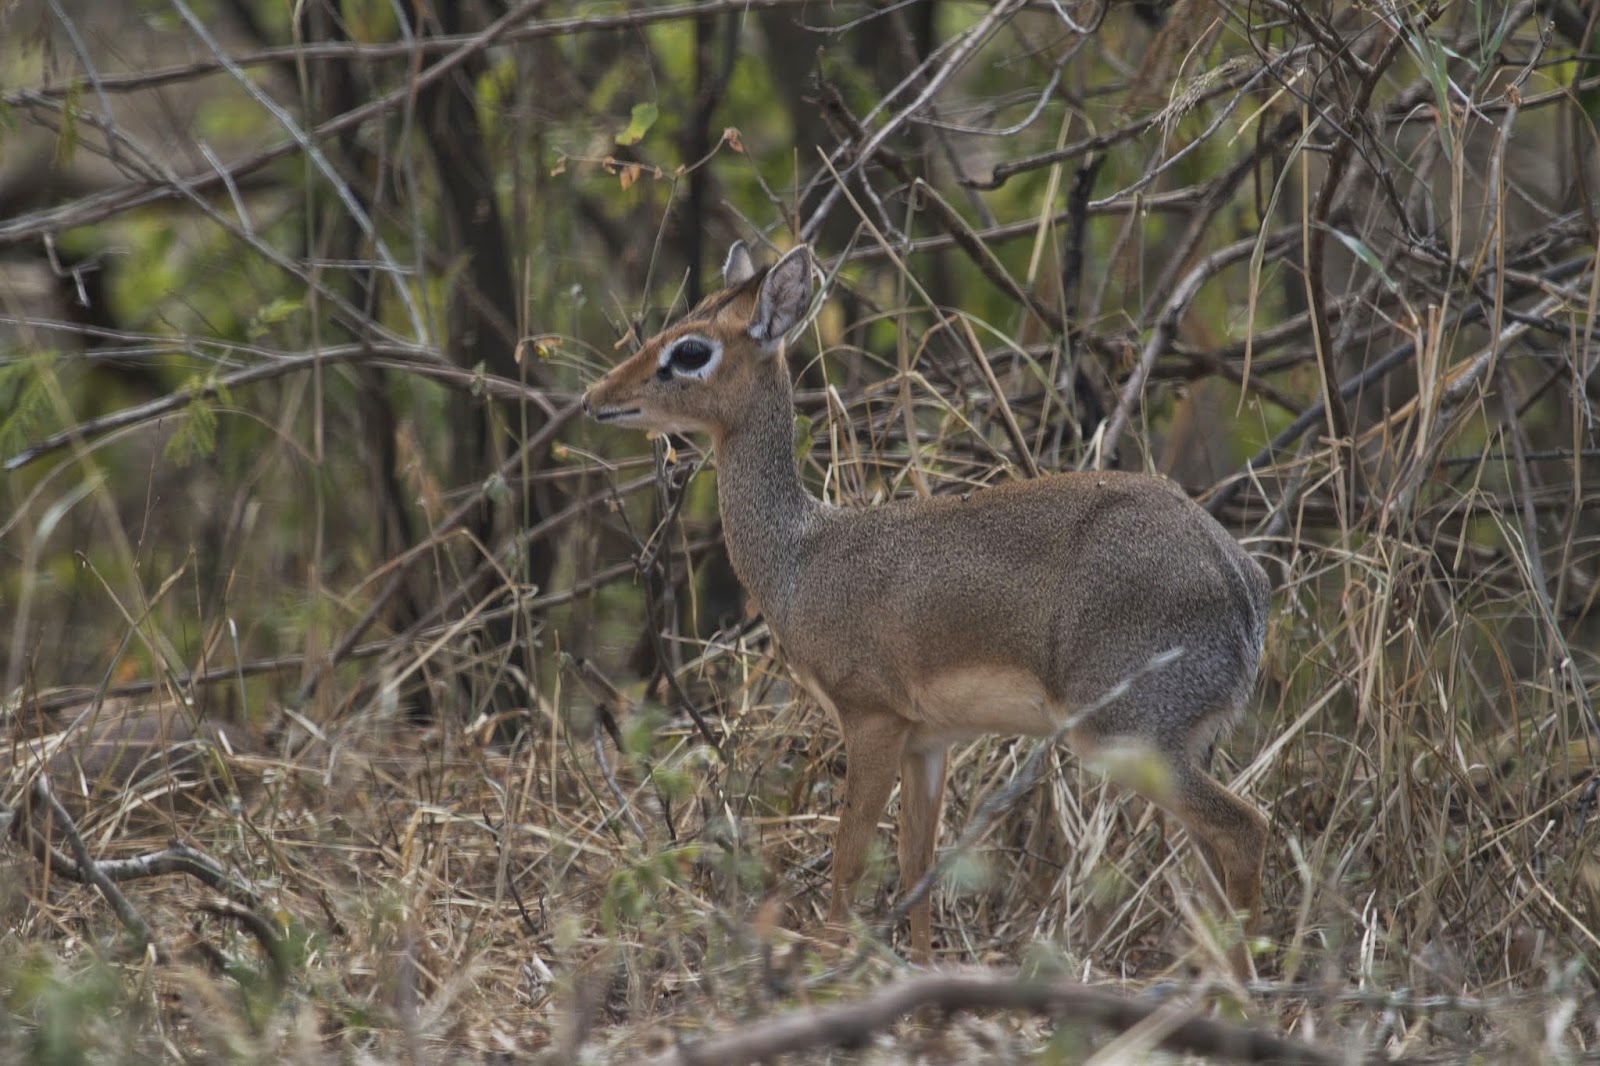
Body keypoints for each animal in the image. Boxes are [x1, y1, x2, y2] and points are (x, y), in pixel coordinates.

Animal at [582, 241, 1272, 971]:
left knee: (1247, 828)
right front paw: (923, 968)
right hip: (1182, 741)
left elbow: (849, 861)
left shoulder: (871, 718)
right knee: (1213, 858)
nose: (597, 399)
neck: (802, 556)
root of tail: (1241, 577)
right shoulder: (927, 742)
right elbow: (919, 864)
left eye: (689, 351)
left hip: (1125, 733)